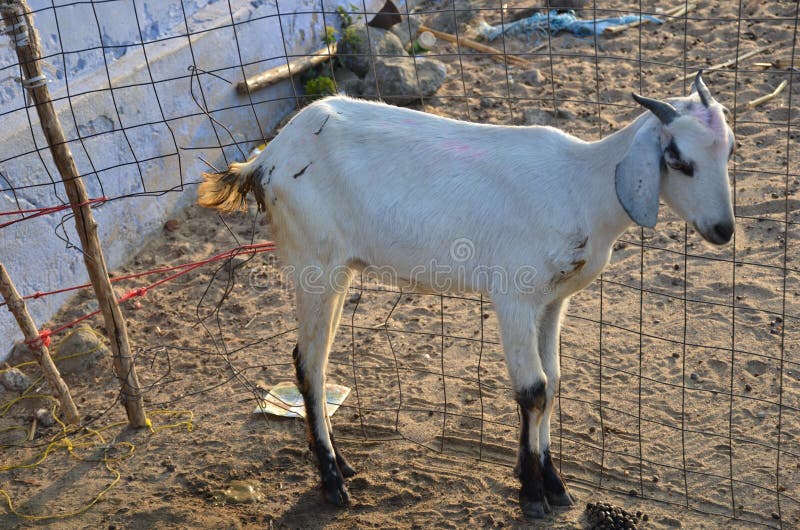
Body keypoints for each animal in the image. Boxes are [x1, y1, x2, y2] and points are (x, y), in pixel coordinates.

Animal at [198, 72, 735, 518]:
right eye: (677, 159)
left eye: (729, 150)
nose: (723, 230)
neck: (583, 184)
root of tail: (267, 157)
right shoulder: (514, 297)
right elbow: (533, 389)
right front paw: (533, 496)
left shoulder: (553, 301)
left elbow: (554, 383)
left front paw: (553, 483)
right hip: (314, 264)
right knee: (310, 362)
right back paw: (333, 484)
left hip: (338, 268)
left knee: (315, 360)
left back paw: (342, 466)